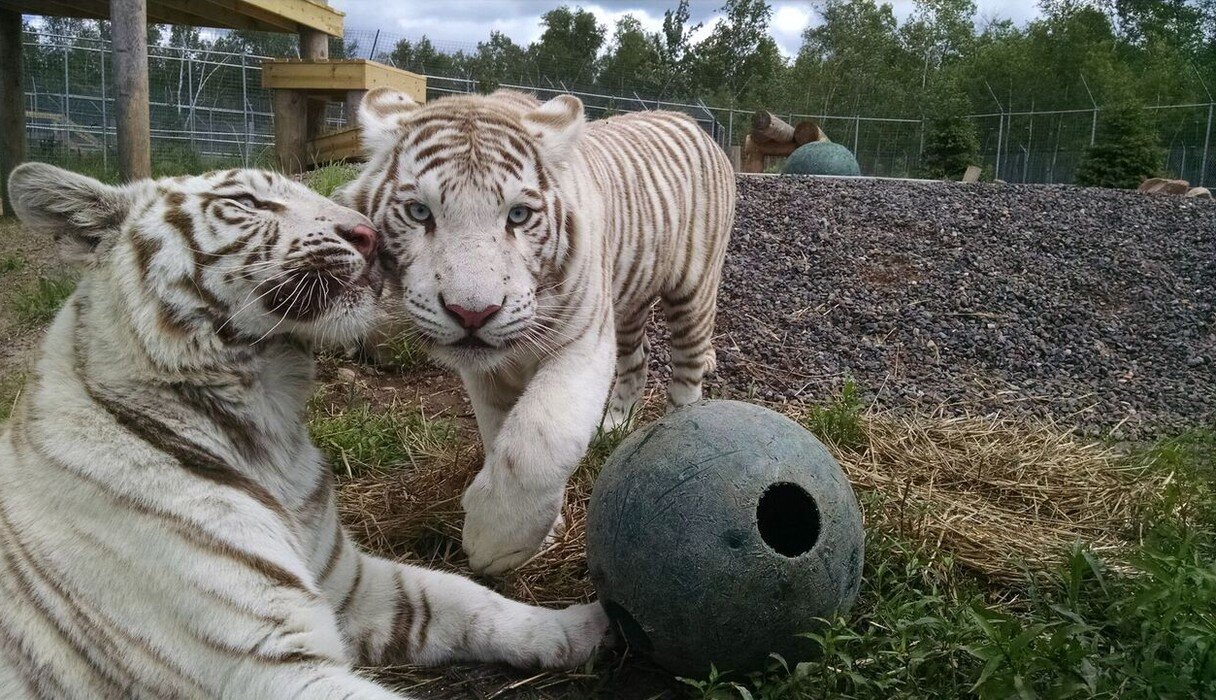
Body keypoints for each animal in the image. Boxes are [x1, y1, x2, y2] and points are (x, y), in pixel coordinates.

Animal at [0, 163, 608, 698]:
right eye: (246, 202)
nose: (368, 234)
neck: (269, 423)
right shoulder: (263, 665)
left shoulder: (349, 585)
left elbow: (467, 599)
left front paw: (586, 626)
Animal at [336, 88, 736, 574]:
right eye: (418, 212)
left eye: (519, 215)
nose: (473, 313)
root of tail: (688, 119)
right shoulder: (485, 374)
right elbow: (499, 435)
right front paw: (542, 534)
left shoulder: (583, 343)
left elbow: (536, 443)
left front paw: (493, 542)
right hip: (629, 305)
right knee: (637, 363)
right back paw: (615, 425)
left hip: (693, 291)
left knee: (688, 371)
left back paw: (679, 434)